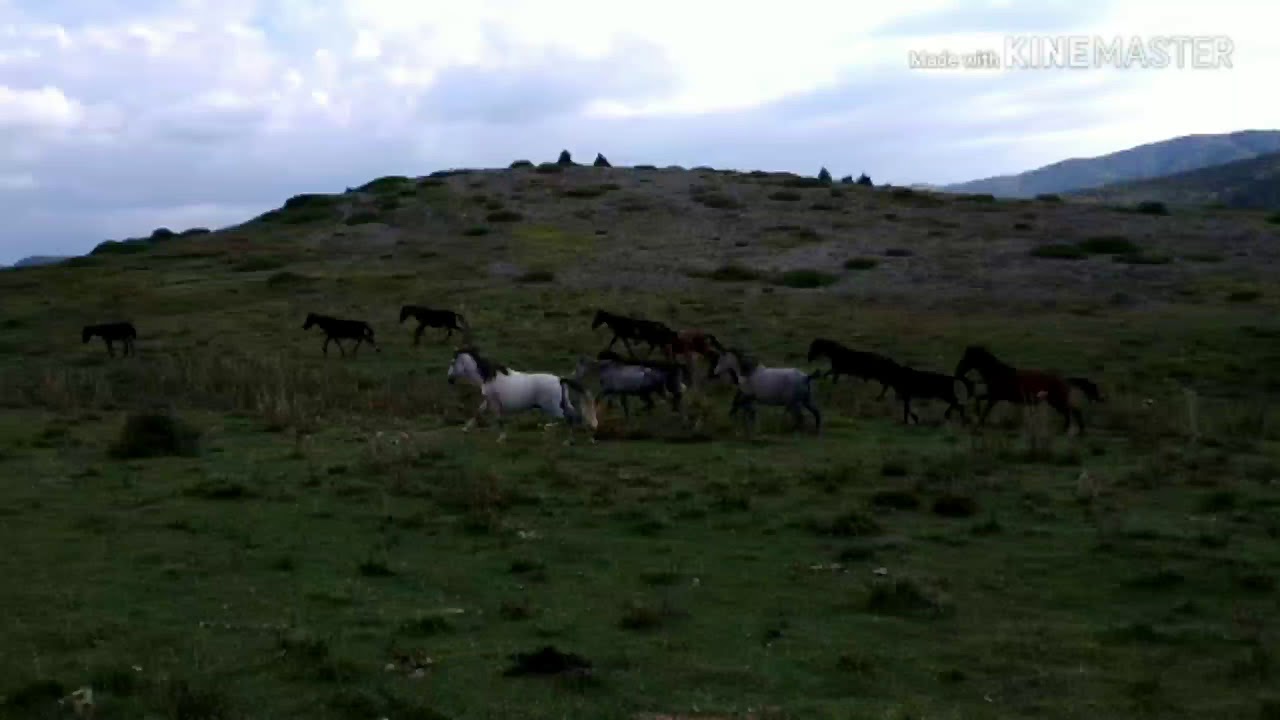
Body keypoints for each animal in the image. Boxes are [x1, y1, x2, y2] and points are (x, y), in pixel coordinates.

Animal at [447, 348, 598, 444]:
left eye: (453, 362)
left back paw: (560, 437)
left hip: (553, 407)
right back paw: (582, 438)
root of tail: (560, 379)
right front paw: (465, 429)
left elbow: (499, 420)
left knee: (568, 418)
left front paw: (501, 438)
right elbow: (478, 412)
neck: (489, 377)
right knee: (576, 416)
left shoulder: (494, 403)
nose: (449, 379)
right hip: (563, 403)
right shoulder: (488, 401)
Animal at [955, 345, 1084, 433]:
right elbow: (979, 399)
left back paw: (1070, 431)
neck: (997, 373)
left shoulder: (994, 397)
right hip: (1055, 401)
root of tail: (1063, 379)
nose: (958, 372)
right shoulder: (994, 396)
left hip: (1057, 401)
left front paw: (978, 425)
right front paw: (977, 415)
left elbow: (985, 410)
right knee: (1071, 412)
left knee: (1071, 412)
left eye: (967, 358)